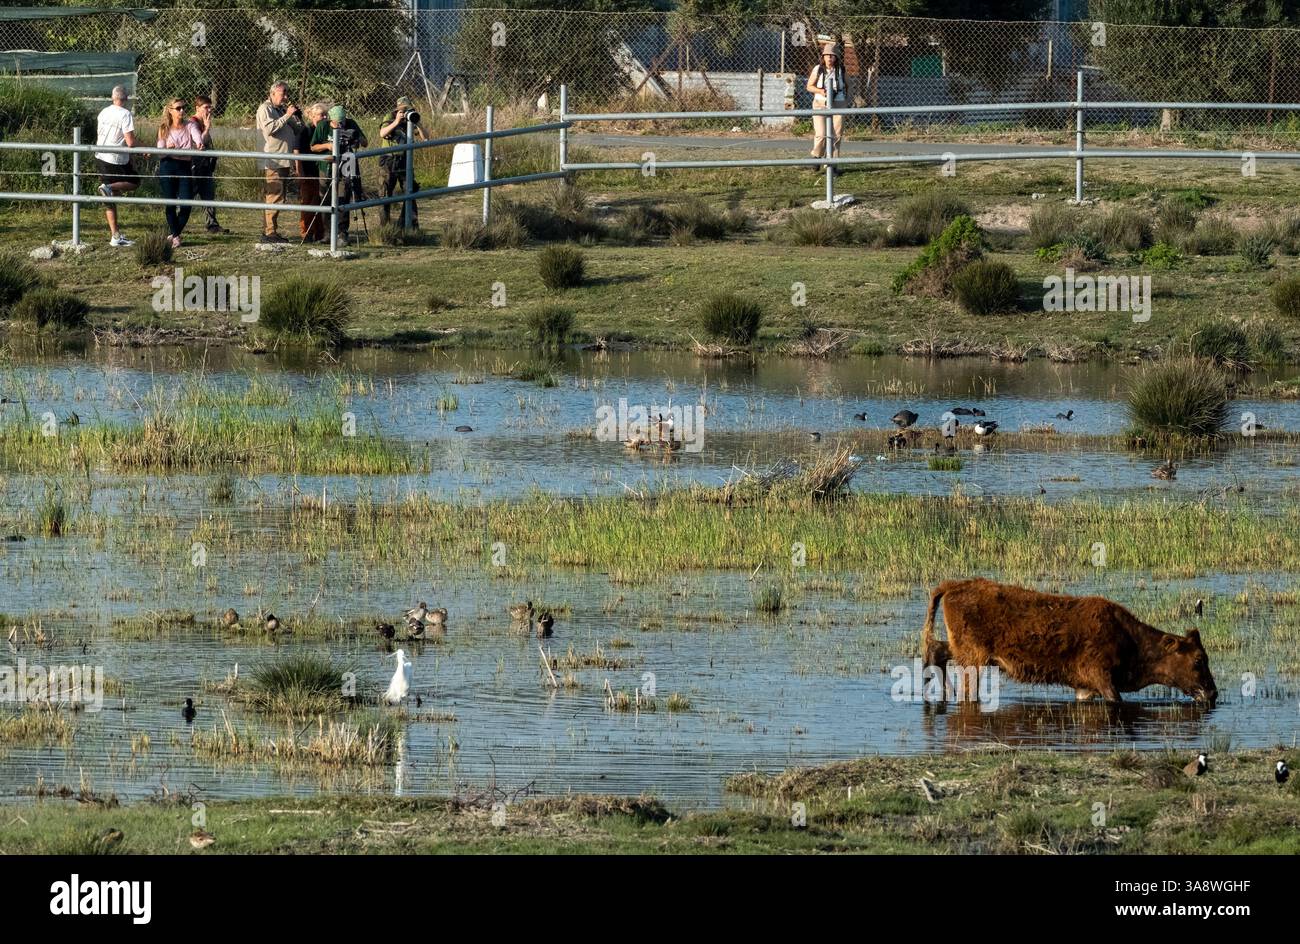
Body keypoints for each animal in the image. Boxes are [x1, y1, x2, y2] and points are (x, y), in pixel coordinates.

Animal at [920, 578, 1217, 706]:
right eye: (1198, 659)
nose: (1212, 692)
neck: (1129, 638)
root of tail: (953, 585)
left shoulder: (1084, 686)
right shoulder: (1100, 675)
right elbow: (1116, 699)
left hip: (964, 651)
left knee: (937, 650)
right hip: (974, 659)